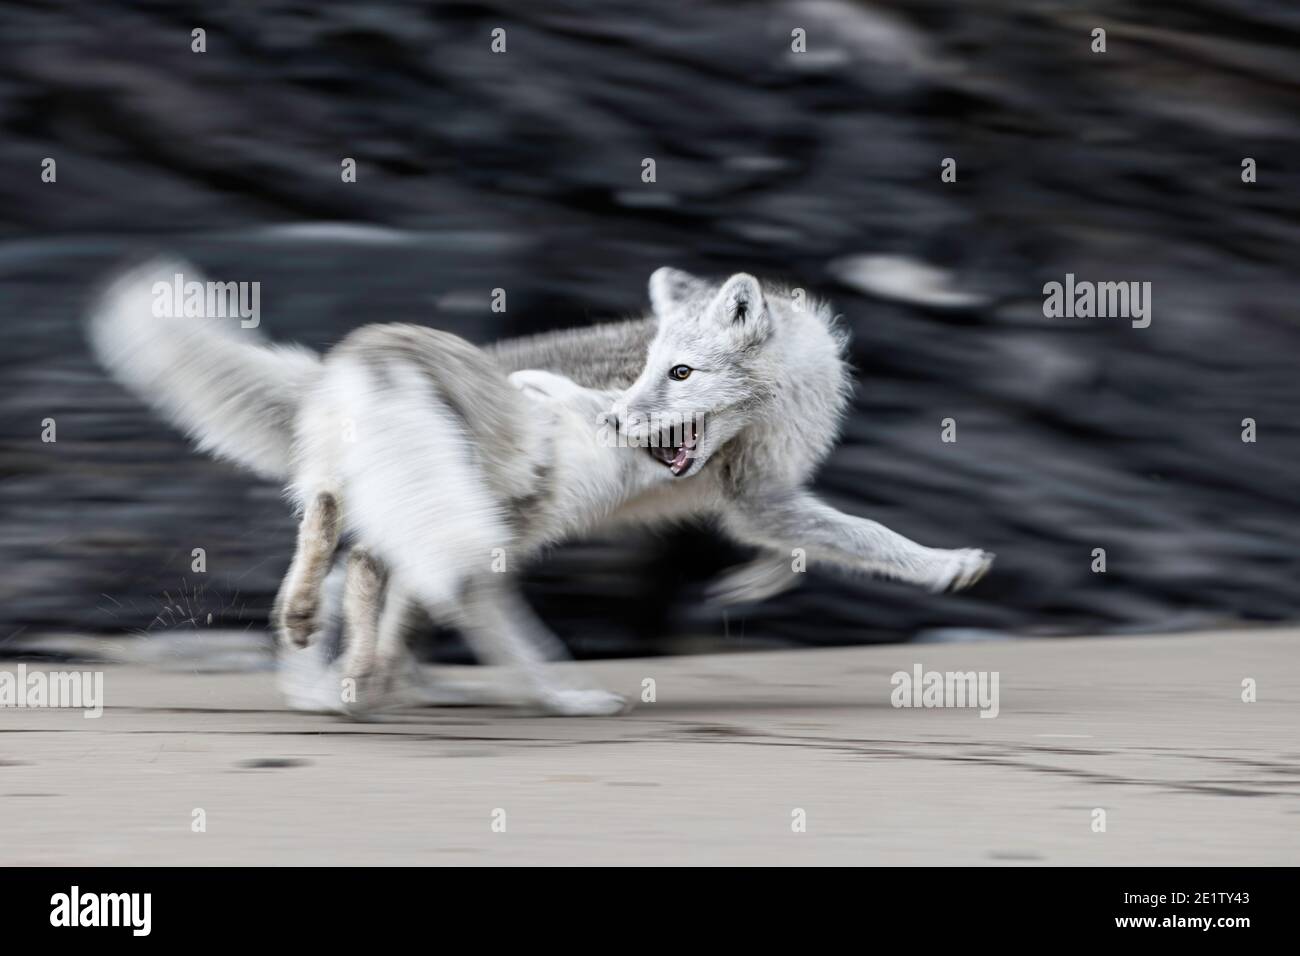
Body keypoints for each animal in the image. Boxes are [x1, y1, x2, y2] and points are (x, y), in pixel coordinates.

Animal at [88, 259, 993, 715]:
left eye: (679, 372)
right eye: (654, 368)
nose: (617, 419)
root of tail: (373, 350)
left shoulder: (756, 500)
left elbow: (794, 552)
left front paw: (744, 588)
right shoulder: (762, 496)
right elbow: (870, 540)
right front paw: (948, 565)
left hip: (416, 507)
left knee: (346, 551)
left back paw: (344, 671)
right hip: (499, 515)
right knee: (399, 580)